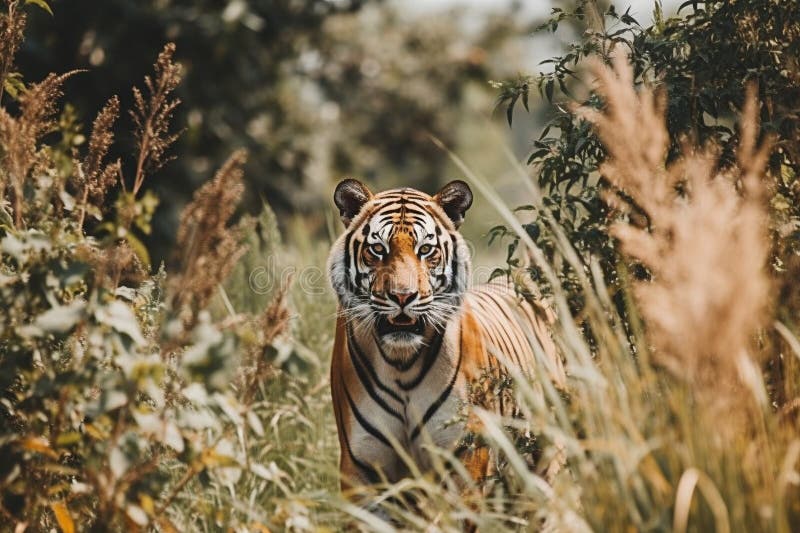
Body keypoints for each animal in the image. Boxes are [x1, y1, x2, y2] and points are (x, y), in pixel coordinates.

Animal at [327, 178, 565, 509]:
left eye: (426, 250)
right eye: (377, 249)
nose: (402, 296)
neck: (400, 362)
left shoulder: (465, 455)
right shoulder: (362, 469)